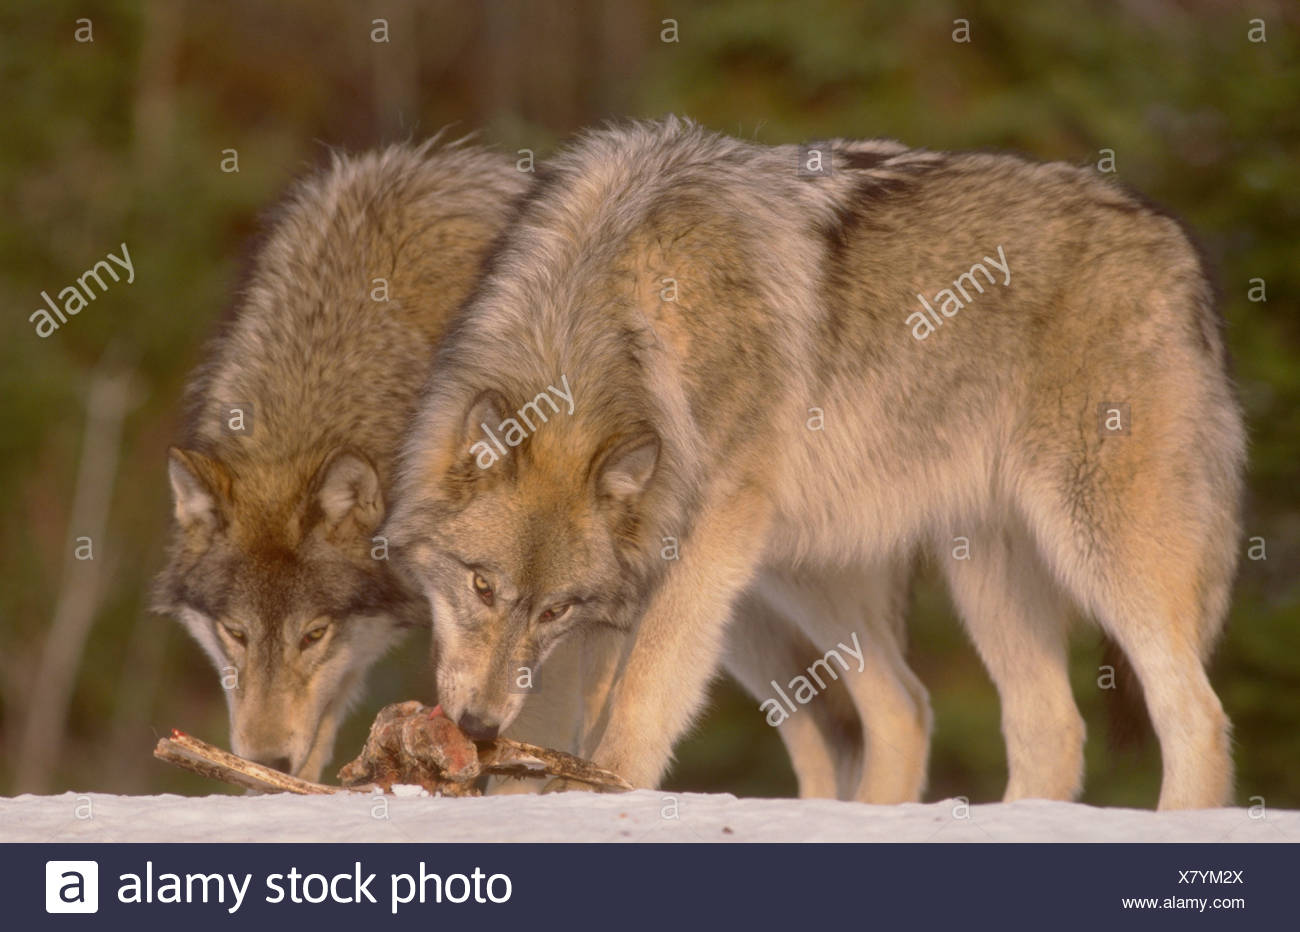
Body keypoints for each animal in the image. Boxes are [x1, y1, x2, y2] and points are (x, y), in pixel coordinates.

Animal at [387, 118, 1243, 809]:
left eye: (553, 609)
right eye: (482, 586)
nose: (476, 724)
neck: (626, 310)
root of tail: (1176, 247)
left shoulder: (701, 547)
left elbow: (644, 690)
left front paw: (602, 794)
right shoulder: (628, 584)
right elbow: (562, 710)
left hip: (1097, 550)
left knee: (1193, 714)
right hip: (903, 574)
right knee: (980, 718)